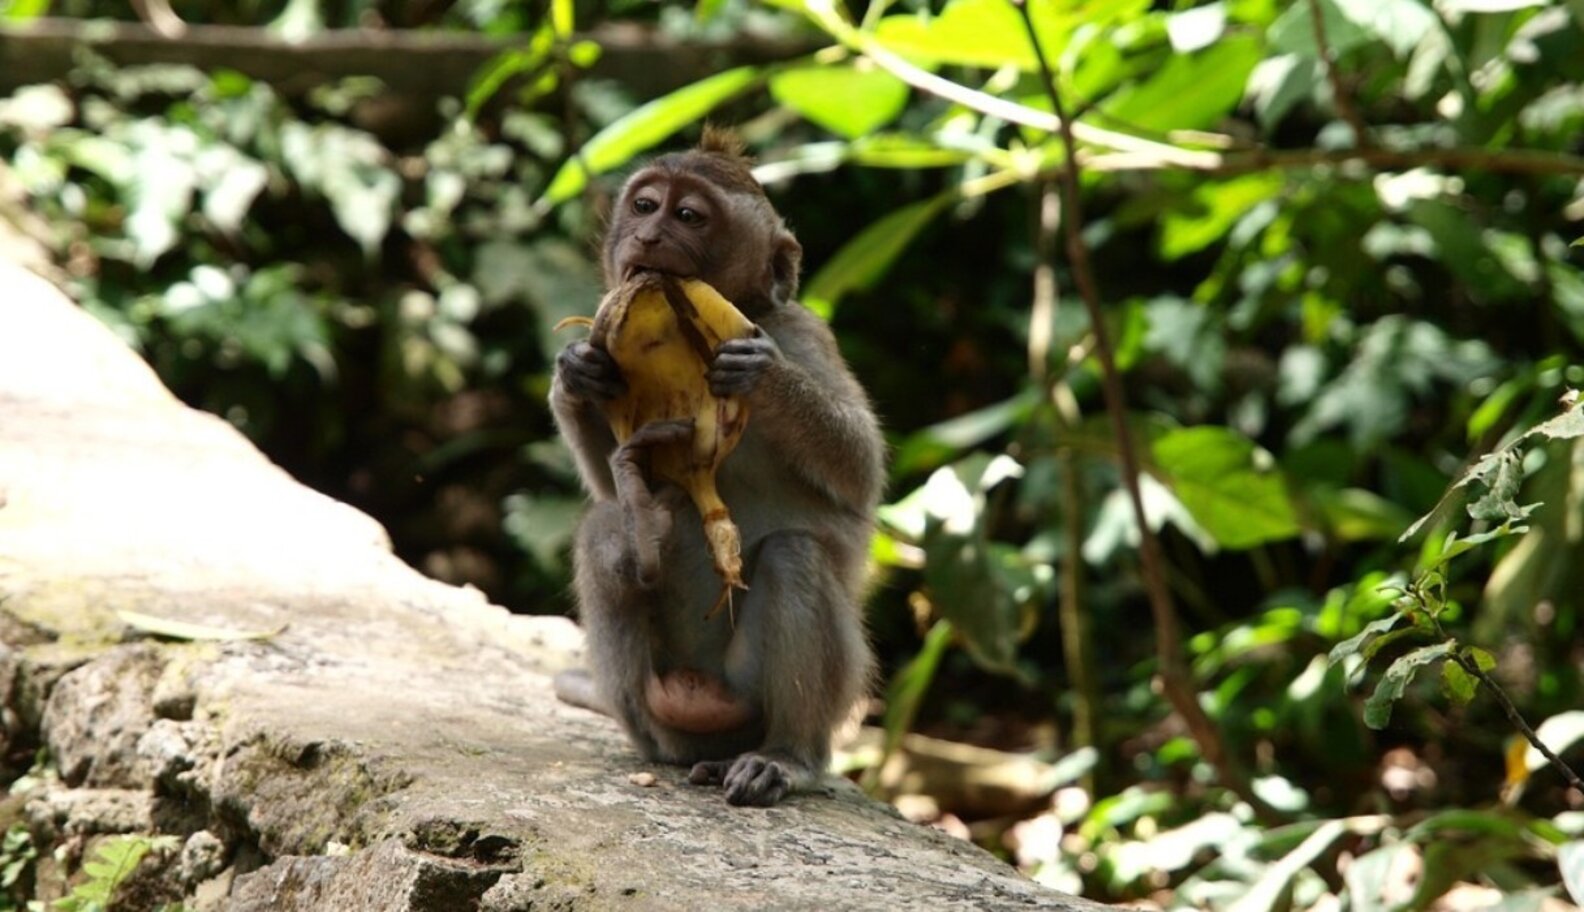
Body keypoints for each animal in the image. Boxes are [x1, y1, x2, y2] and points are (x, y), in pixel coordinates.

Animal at [549, 129, 885, 807]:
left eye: (688, 216)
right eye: (645, 205)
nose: (650, 236)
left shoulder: (805, 332)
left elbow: (861, 469)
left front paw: (762, 373)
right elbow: (602, 479)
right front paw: (574, 373)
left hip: (753, 695)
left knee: (793, 555)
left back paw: (785, 758)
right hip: (649, 707)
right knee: (602, 528)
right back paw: (640, 531)